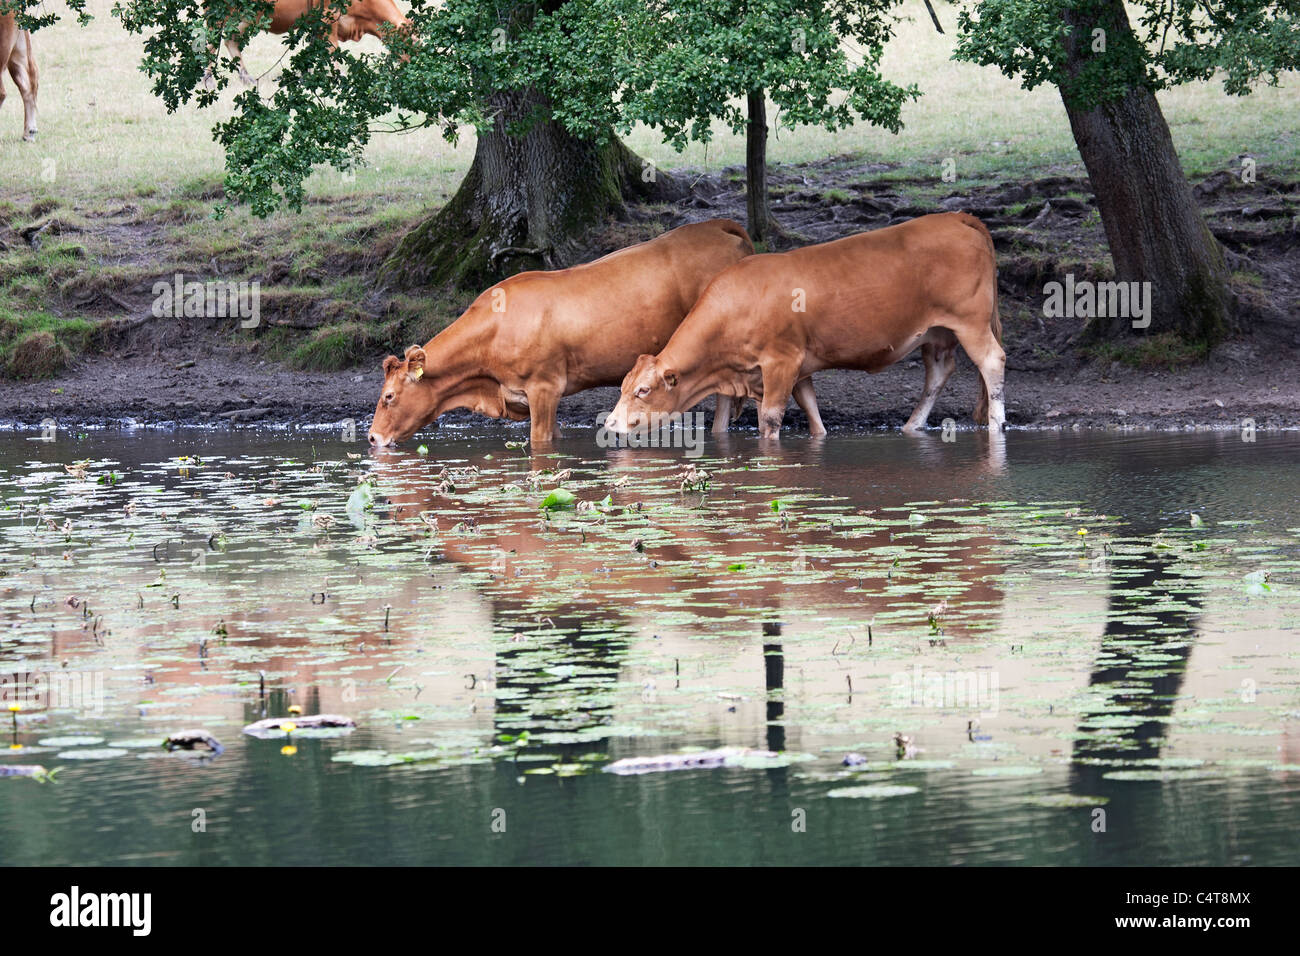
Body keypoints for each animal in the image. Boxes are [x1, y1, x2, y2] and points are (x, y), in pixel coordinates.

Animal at [204, 0, 411, 88]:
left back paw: (247, 78)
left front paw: (308, 76)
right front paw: (340, 79)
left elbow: (314, 52)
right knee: (211, 42)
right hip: (219, 13)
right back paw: (208, 80)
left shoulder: (316, 23)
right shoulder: (328, 18)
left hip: (246, 16)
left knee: (230, 40)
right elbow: (333, 51)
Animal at [606, 212, 1005, 441]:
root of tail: (957, 216)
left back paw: (996, 423)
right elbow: (811, 410)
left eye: (643, 391)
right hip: (937, 333)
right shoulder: (798, 365)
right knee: (938, 374)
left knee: (992, 362)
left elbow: (770, 419)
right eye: (623, 385)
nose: (609, 424)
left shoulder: (781, 361)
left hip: (970, 322)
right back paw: (911, 426)